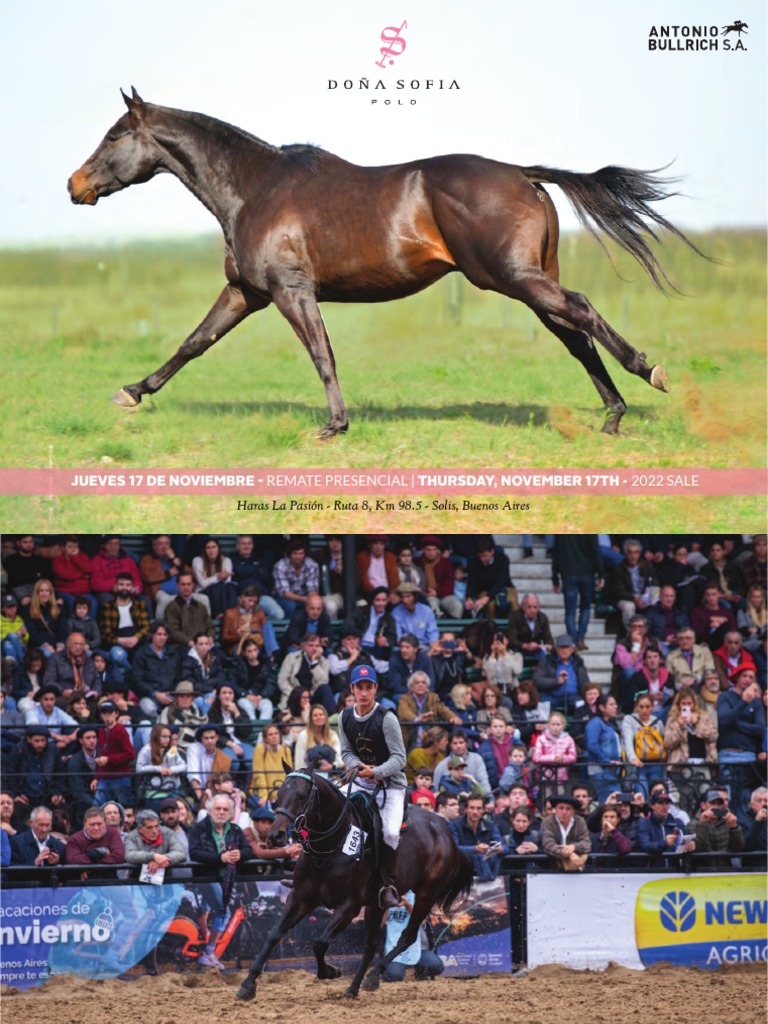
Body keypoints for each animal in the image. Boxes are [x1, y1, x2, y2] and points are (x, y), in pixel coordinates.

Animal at [68, 88, 708, 437]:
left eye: (113, 135)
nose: (75, 185)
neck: (255, 190)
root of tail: (522, 173)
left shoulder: (291, 291)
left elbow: (321, 355)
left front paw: (333, 425)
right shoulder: (246, 293)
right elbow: (193, 343)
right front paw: (132, 392)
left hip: (514, 279)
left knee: (583, 312)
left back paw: (650, 372)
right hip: (529, 282)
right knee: (575, 336)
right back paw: (614, 414)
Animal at [234, 768, 474, 1000]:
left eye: (302, 796)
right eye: (279, 795)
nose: (275, 836)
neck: (329, 848)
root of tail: (445, 831)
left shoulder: (348, 906)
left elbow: (320, 942)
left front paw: (330, 971)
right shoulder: (301, 899)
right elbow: (274, 934)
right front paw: (247, 984)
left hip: (426, 894)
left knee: (407, 936)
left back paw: (373, 976)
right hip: (376, 904)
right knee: (371, 946)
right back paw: (354, 987)